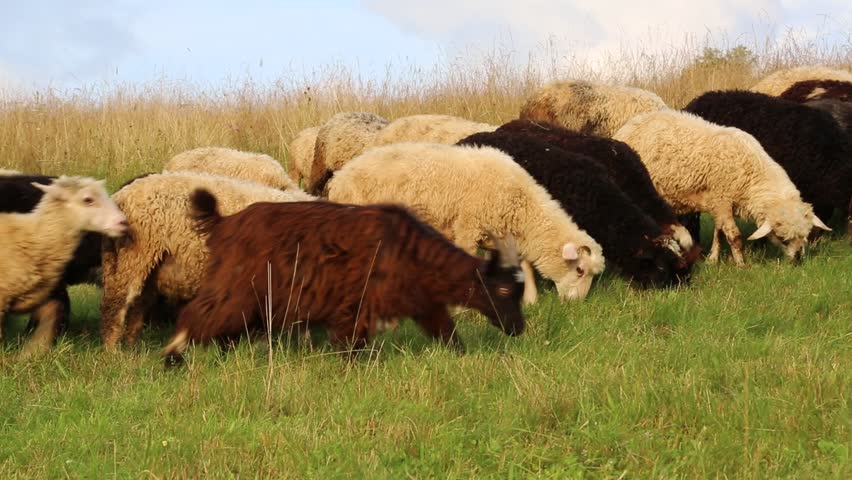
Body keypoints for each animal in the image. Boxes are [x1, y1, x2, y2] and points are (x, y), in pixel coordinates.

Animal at [99, 171, 315, 350]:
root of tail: (121, 197)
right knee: (116, 305)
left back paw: (131, 348)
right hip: (135, 255)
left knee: (138, 305)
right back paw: (113, 352)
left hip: (139, 264)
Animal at [162, 190, 526, 366]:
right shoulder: (355, 307)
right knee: (197, 315)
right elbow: (349, 347)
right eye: (503, 288)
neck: (410, 249)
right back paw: (171, 357)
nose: (518, 329)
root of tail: (224, 222)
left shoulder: (425, 305)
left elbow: (449, 336)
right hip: (236, 288)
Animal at [326, 142, 605, 302]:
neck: (520, 202)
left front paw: (529, 299)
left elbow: (524, 266)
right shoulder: (468, 229)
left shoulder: (501, 235)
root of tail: (340, 177)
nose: (578, 304)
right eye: (580, 270)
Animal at [613, 109, 831, 266]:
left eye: (805, 236)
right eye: (782, 238)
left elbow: (719, 232)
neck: (751, 171)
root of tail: (627, 127)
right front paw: (741, 264)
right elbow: (734, 236)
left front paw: (713, 258)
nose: (797, 260)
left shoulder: (717, 203)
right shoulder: (722, 199)